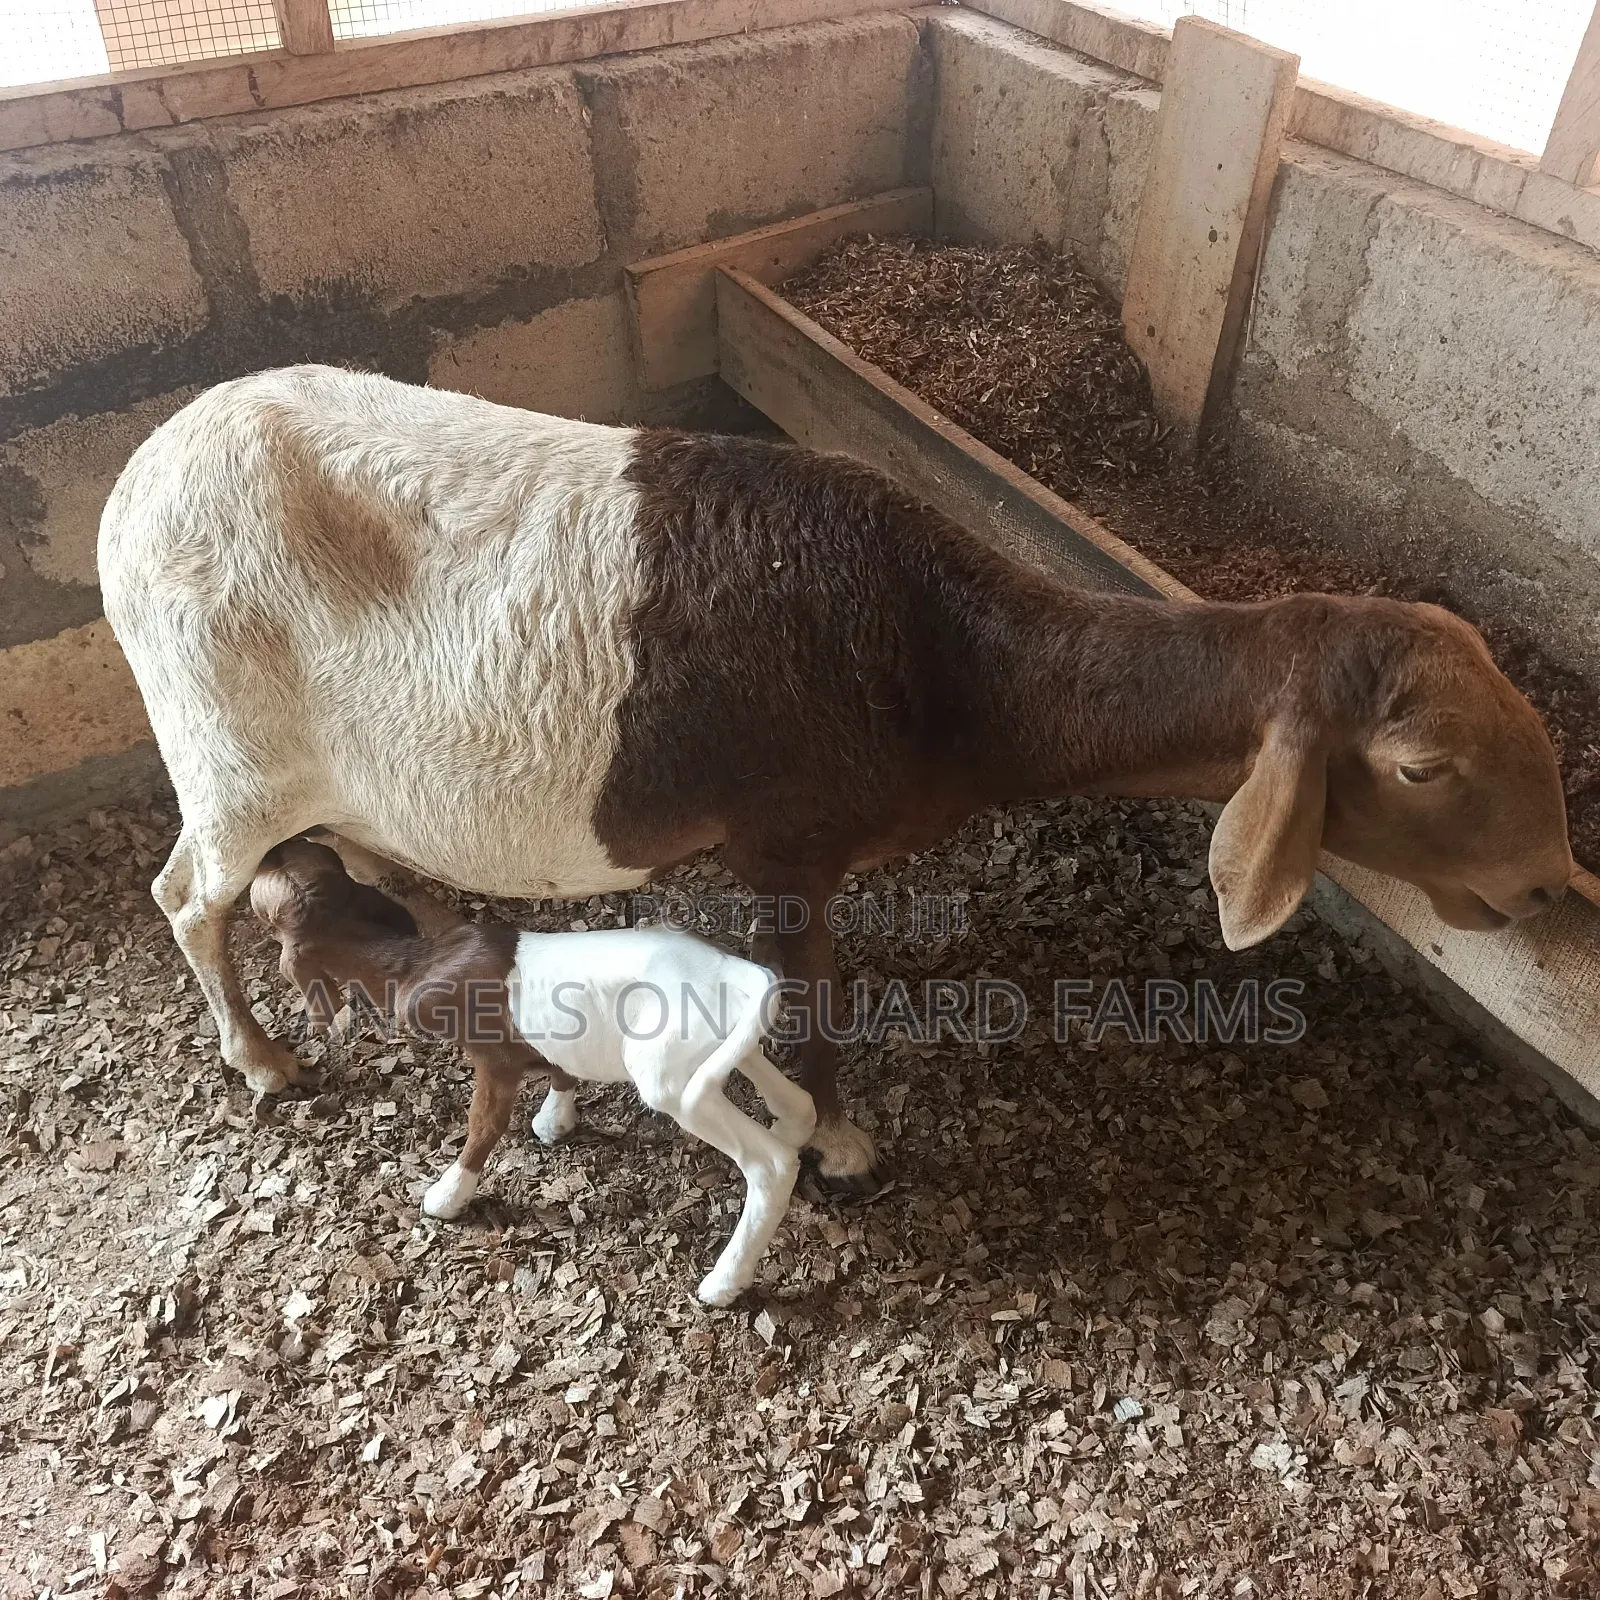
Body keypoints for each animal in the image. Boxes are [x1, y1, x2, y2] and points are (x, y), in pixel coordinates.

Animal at [99, 365, 1575, 1190]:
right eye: (1422, 765)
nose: (1553, 883)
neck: (953, 661)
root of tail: (133, 485)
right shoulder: (785, 841)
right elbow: (805, 1004)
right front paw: (841, 1146)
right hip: (222, 737)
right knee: (187, 895)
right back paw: (261, 1058)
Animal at [249, 838, 814, 1307]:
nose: (270, 848)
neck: (414, 961)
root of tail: (731, 970)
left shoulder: (493, 1058)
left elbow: (484, 1125)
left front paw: (447, 1196)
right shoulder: (547, 1046)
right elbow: (561, 1074)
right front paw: (554, 1123)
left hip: (667, 1076)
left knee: (771, 1165)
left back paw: (724, 1282)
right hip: (713, 1049)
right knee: (792, 1098)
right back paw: (794, 1125)